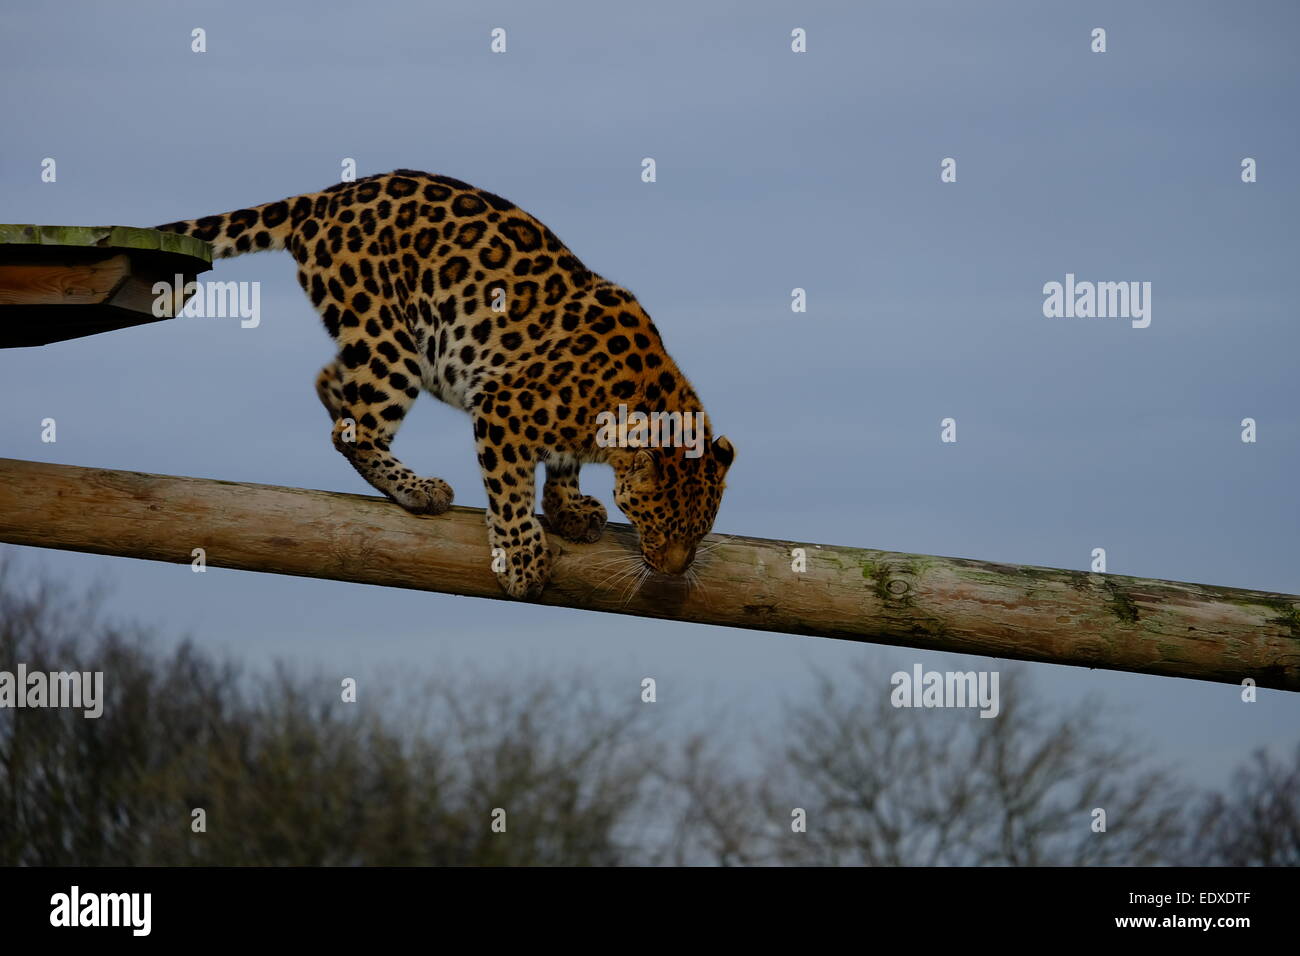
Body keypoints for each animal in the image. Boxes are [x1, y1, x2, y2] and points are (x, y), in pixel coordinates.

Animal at [155, 170, 734, 599]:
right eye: (658, 524)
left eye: (700, 529)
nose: (672, 572)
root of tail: (324, 198)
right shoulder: (503, 409)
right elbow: (511, 491)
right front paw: (522, 560)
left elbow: (561, 465)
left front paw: (568, 509)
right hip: (389, 340)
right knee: (353, 429)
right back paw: (417, 487)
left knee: (330, 383)